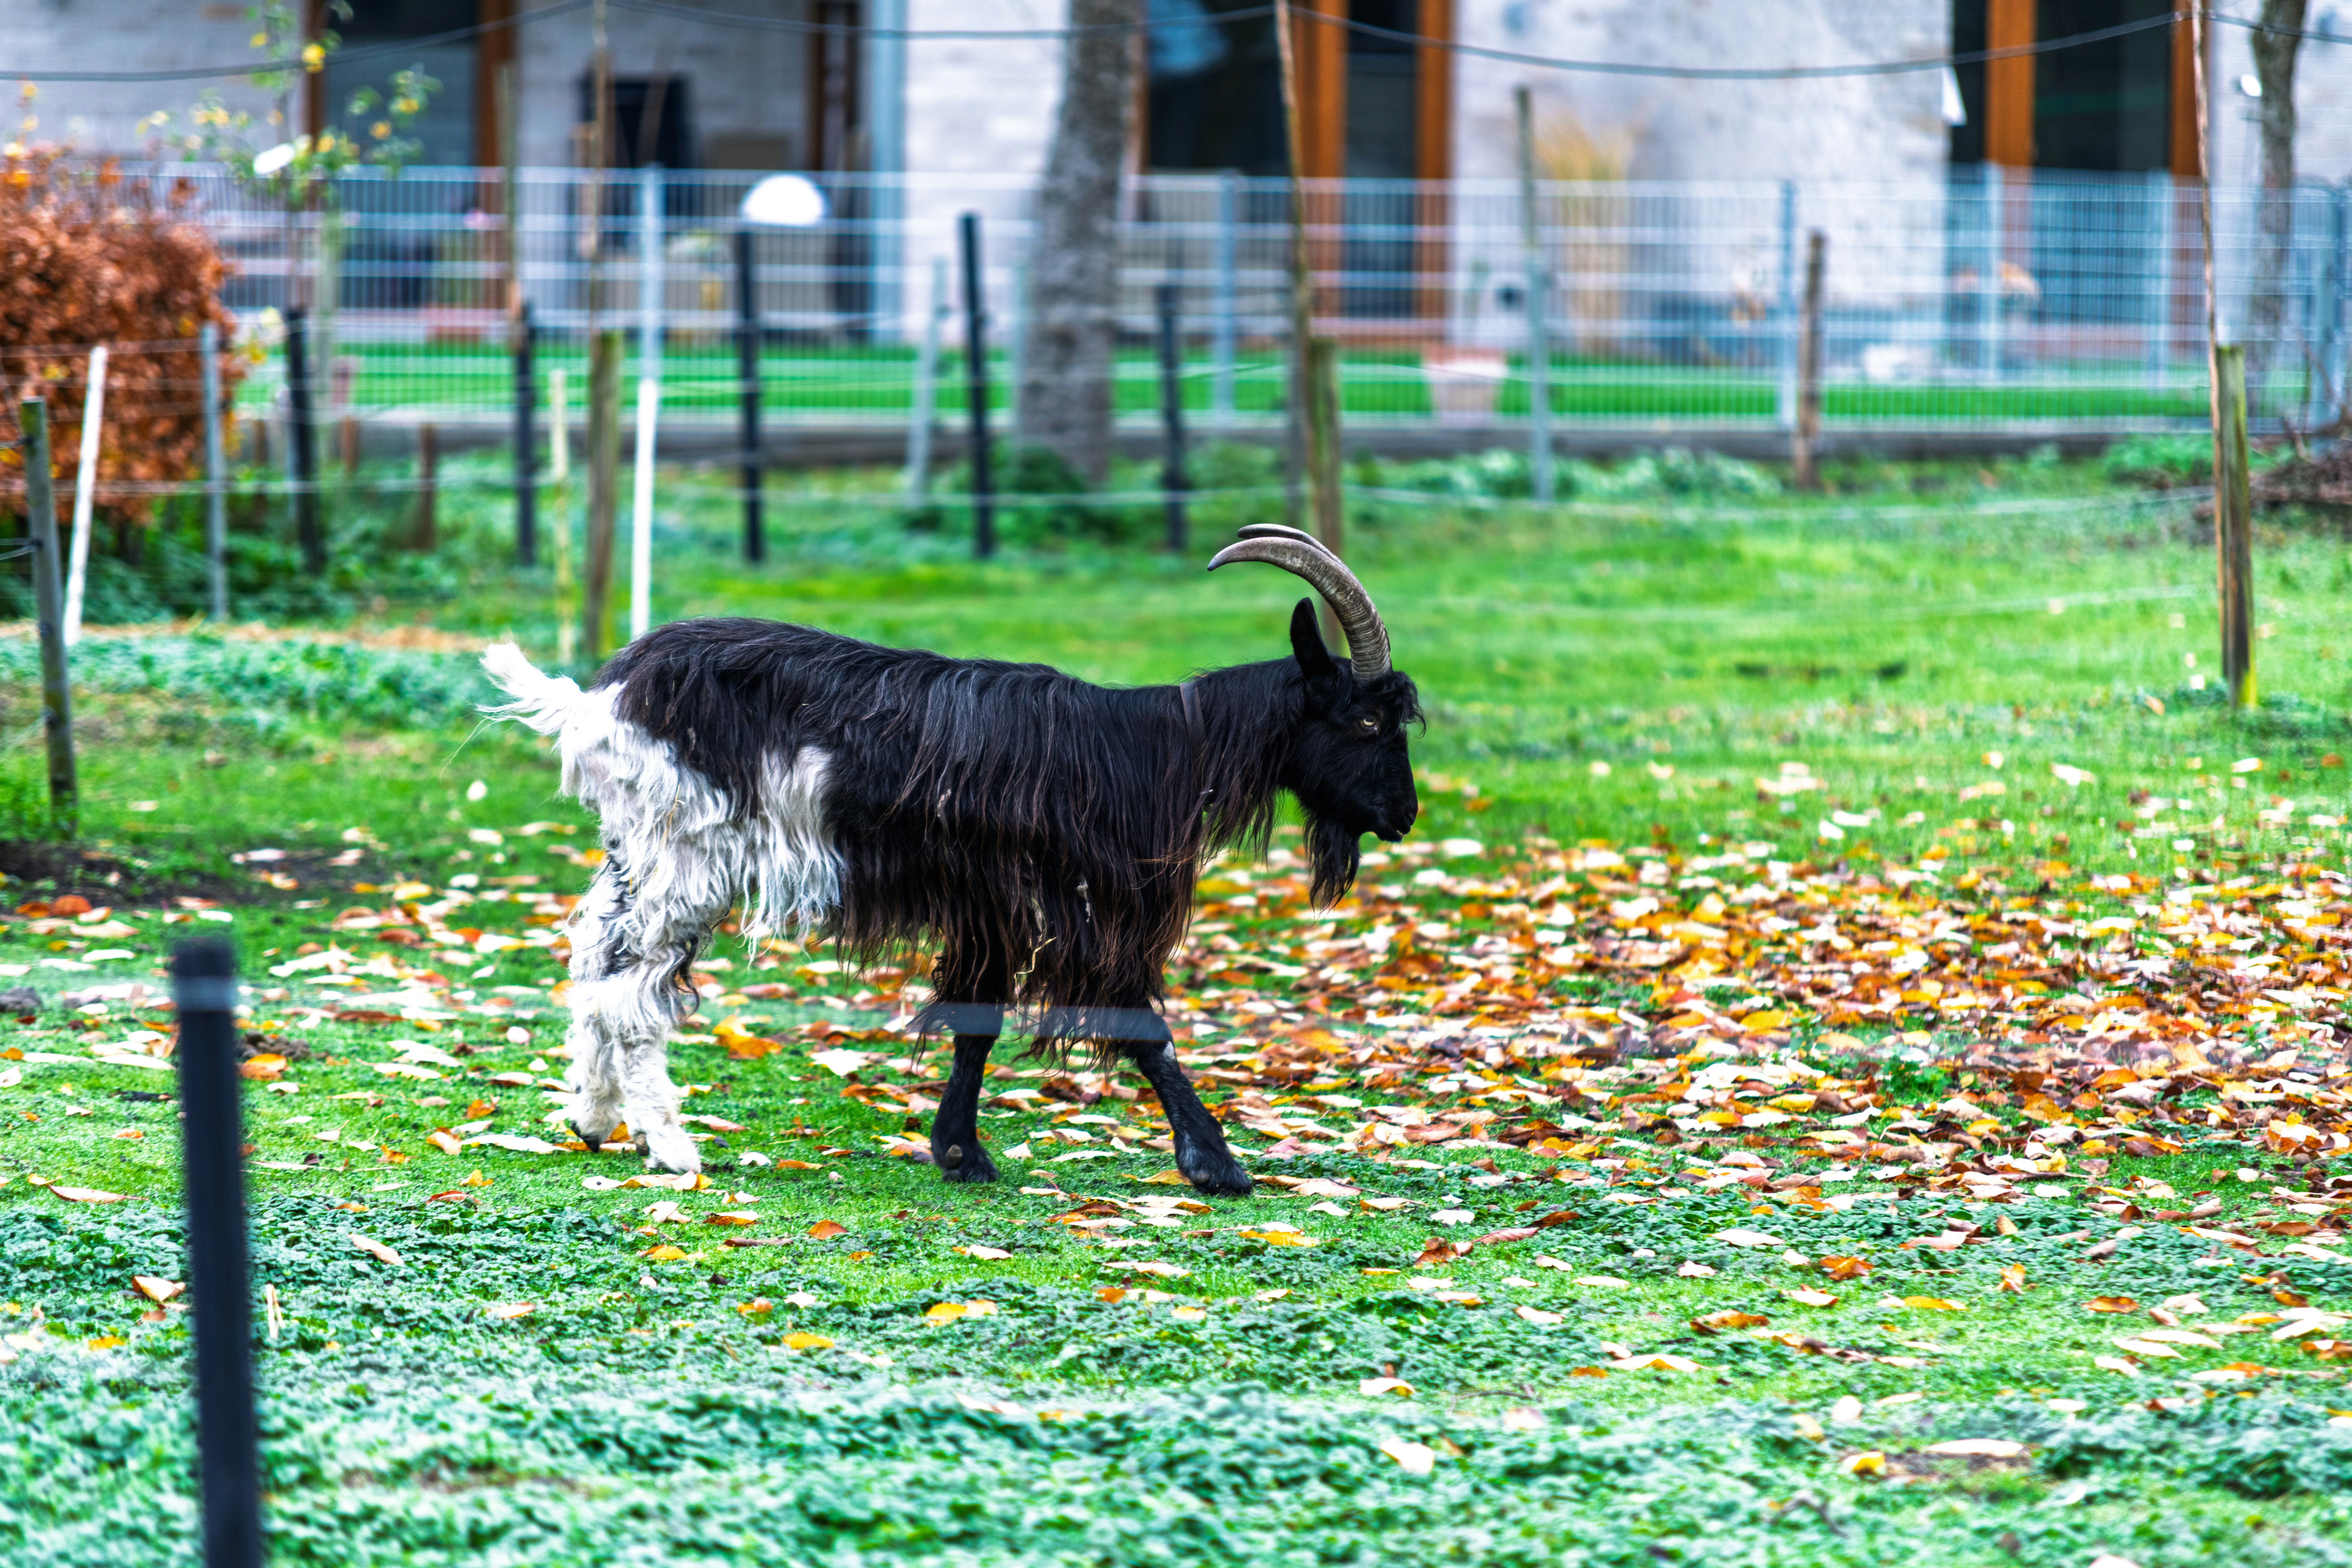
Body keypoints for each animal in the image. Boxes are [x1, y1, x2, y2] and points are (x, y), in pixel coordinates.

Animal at [480, 524, 1419, 1195]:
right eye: (1368, 721)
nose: (1404, 816)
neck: (1154, 753)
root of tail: (601, 700)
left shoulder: (990, 903)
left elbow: (977, 1020)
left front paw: (960, 1151)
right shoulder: (1078, 903)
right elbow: (1138, 1021)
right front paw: (1216, 1164)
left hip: (635, 851)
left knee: (592, 956)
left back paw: (593, 1116)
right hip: (687, 854)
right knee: (631, 987)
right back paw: (671, 1146)